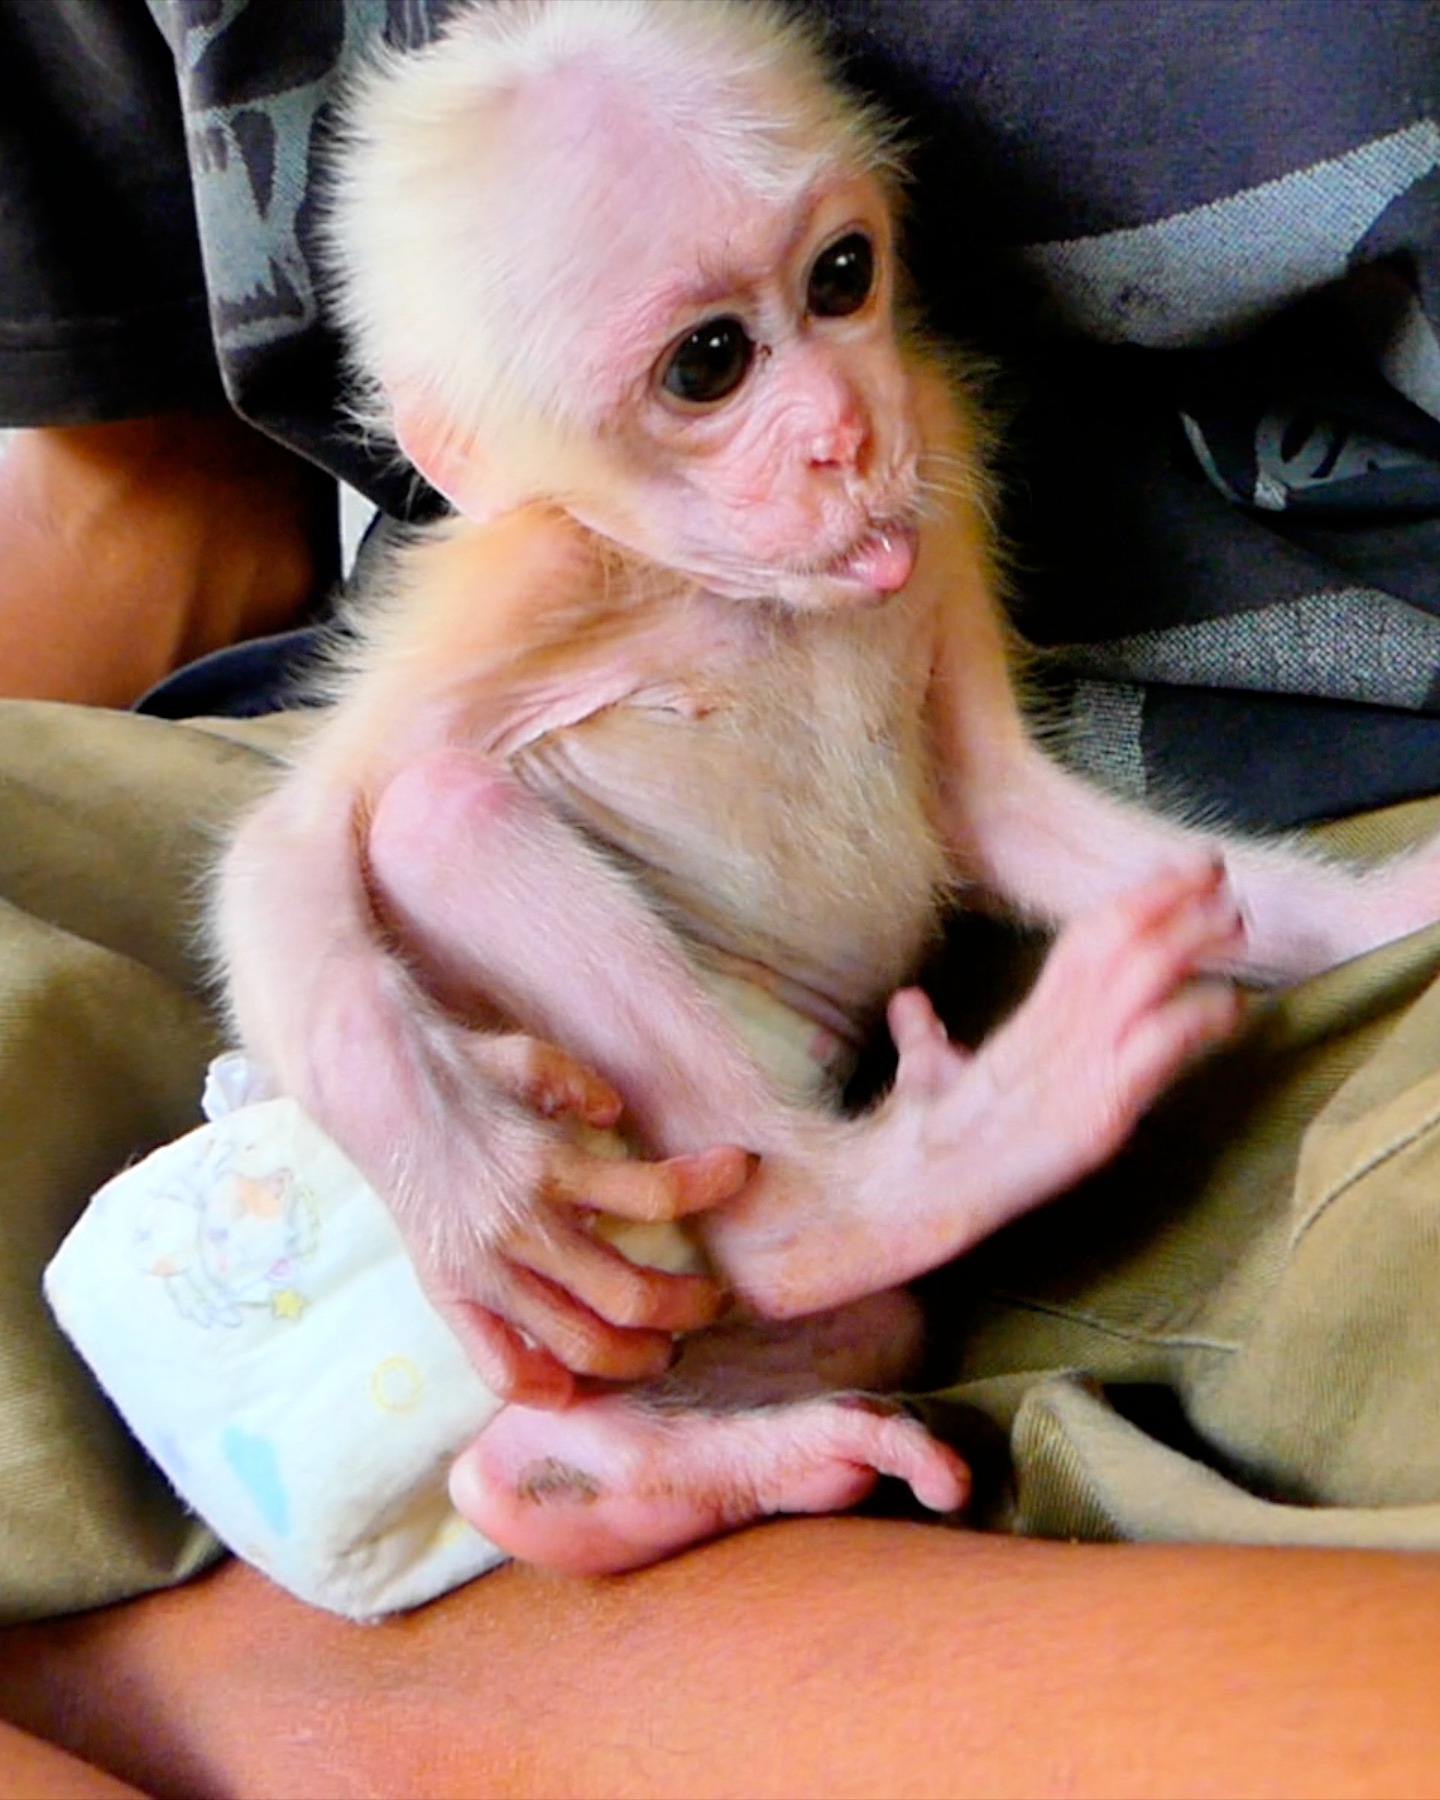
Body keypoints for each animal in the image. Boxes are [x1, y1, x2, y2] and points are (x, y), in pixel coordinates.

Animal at [216, 0, 1440, 1575]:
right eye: (709, 364)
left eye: (842, 278)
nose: (843, 432)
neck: (743, 587)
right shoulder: (530, 574)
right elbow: (301, 832)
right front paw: (469, 1185)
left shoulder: (941, 447)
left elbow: (1002, 807)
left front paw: (1394, 912)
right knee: (439, 814)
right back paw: (869, 1200)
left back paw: (627, 1476)